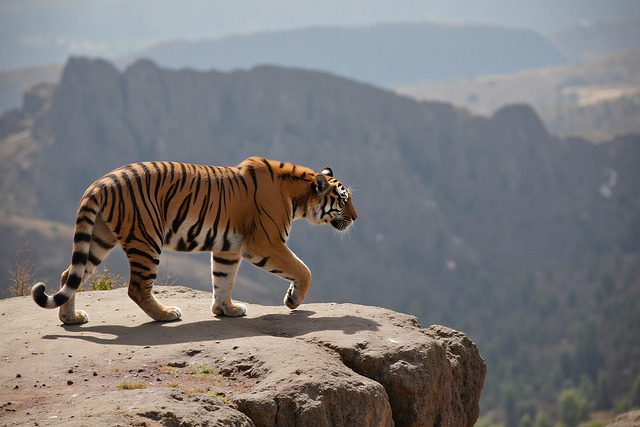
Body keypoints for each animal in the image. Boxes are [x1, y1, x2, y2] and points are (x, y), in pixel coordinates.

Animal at [32, 157, 357, 325]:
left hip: (99, 237)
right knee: (136, 288)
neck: (296, 195)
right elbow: (304, 270)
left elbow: (223, 279)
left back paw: (71, 318)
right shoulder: (265, 244)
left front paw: (227, 310)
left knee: (68, 275)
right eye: (343, 200)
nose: (356, 218)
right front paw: (292, 301)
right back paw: (167, 314)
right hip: (146, 240)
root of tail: (99, 183)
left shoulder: (229, 247)